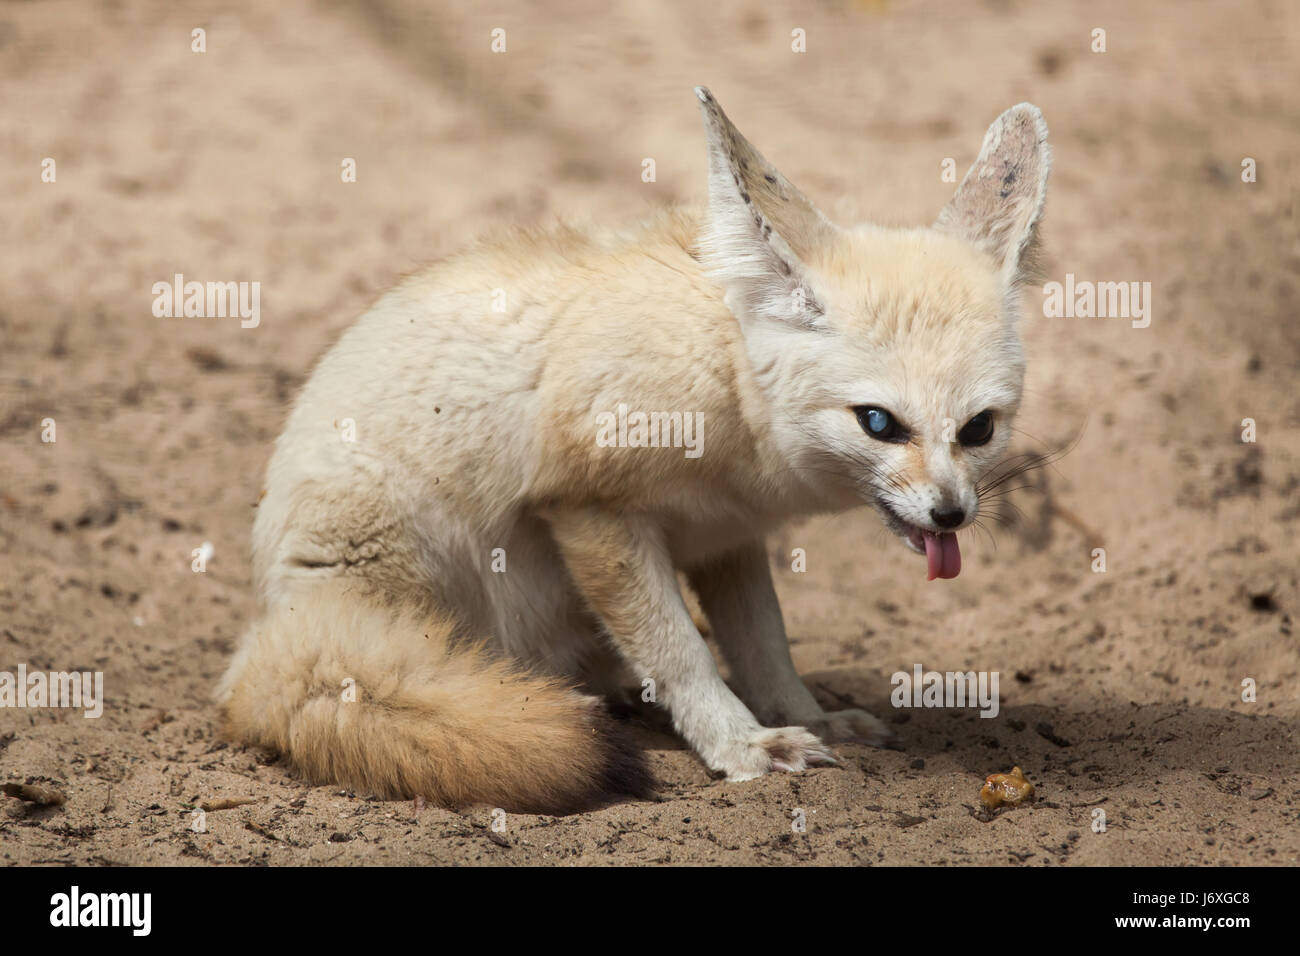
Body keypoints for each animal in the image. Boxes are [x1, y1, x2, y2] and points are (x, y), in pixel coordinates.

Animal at [217, 88, 1050, 814]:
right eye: (879, 423)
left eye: (979, 428)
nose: (952, 515)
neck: (724, 375)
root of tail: (266, 639)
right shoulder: (590, 510)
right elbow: (682, 652)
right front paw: (739, 745)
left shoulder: (728, 537)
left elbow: (765, 646)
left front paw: (807, 717)